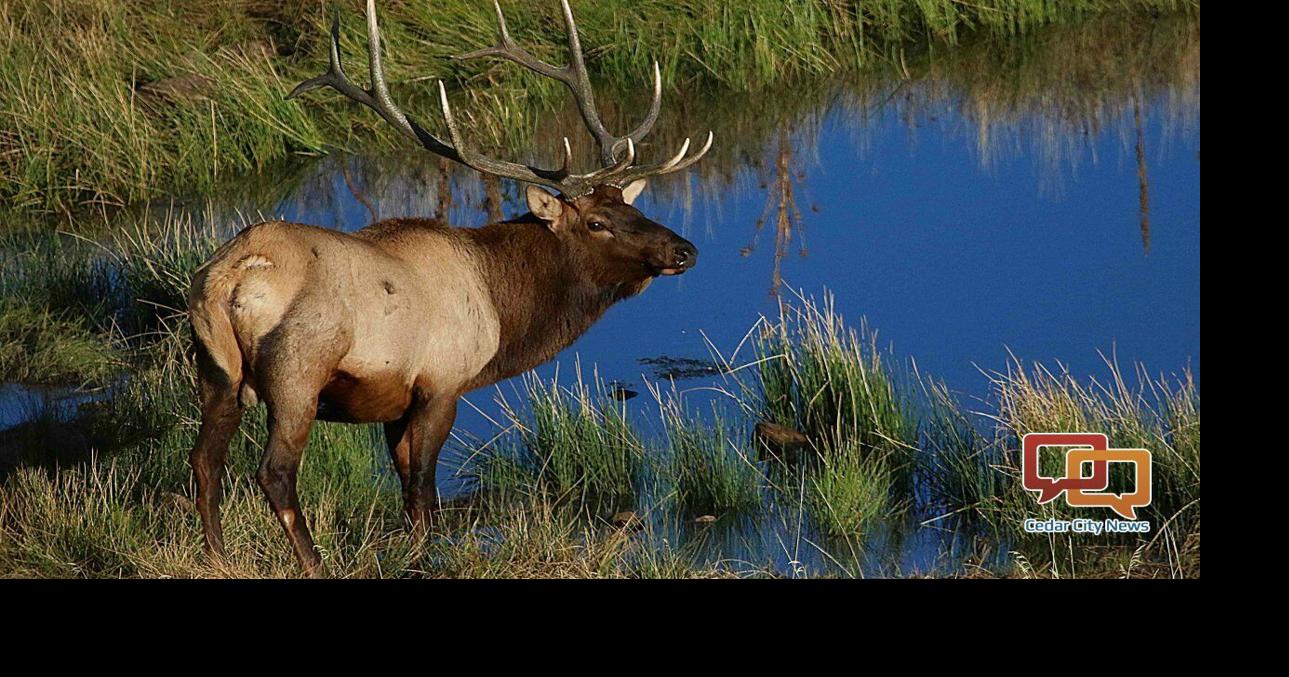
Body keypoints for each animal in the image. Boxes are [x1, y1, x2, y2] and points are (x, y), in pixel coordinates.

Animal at [185, 0, 711, 576]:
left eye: (630, 207)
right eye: (596, 222)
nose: (685, 250)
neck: (504, 307)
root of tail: (232, 277)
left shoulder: (395, 401)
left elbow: (406, 485)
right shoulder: (443, 382)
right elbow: (423, 489)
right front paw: (423, 558)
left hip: (215, 369)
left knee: (204, 460)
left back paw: (216, 557)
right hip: (297, 373)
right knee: (274, 473)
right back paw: (314, 563)